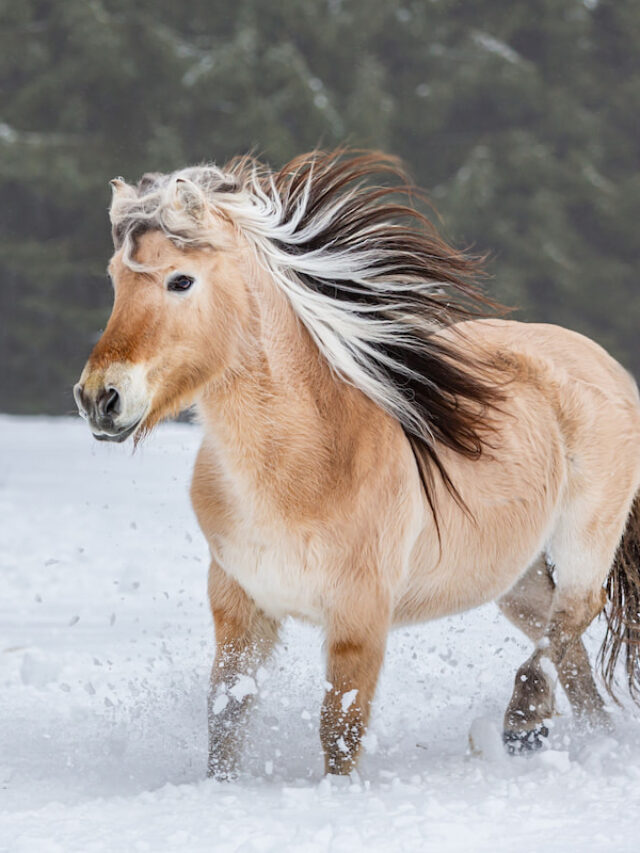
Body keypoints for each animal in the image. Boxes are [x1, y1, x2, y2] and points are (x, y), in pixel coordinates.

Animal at [74, 149, 640, 778]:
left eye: (180, 280)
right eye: (115, 279)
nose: (100, 398)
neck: (305, 463)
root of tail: (604, 361)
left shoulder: (359, 618)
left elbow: (339, 730)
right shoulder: (239, 608)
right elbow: (225, 719)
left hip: (584, 542)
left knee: (573, 617)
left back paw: (522, 720)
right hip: (515, 576)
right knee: (570, 654)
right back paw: (579, 738)